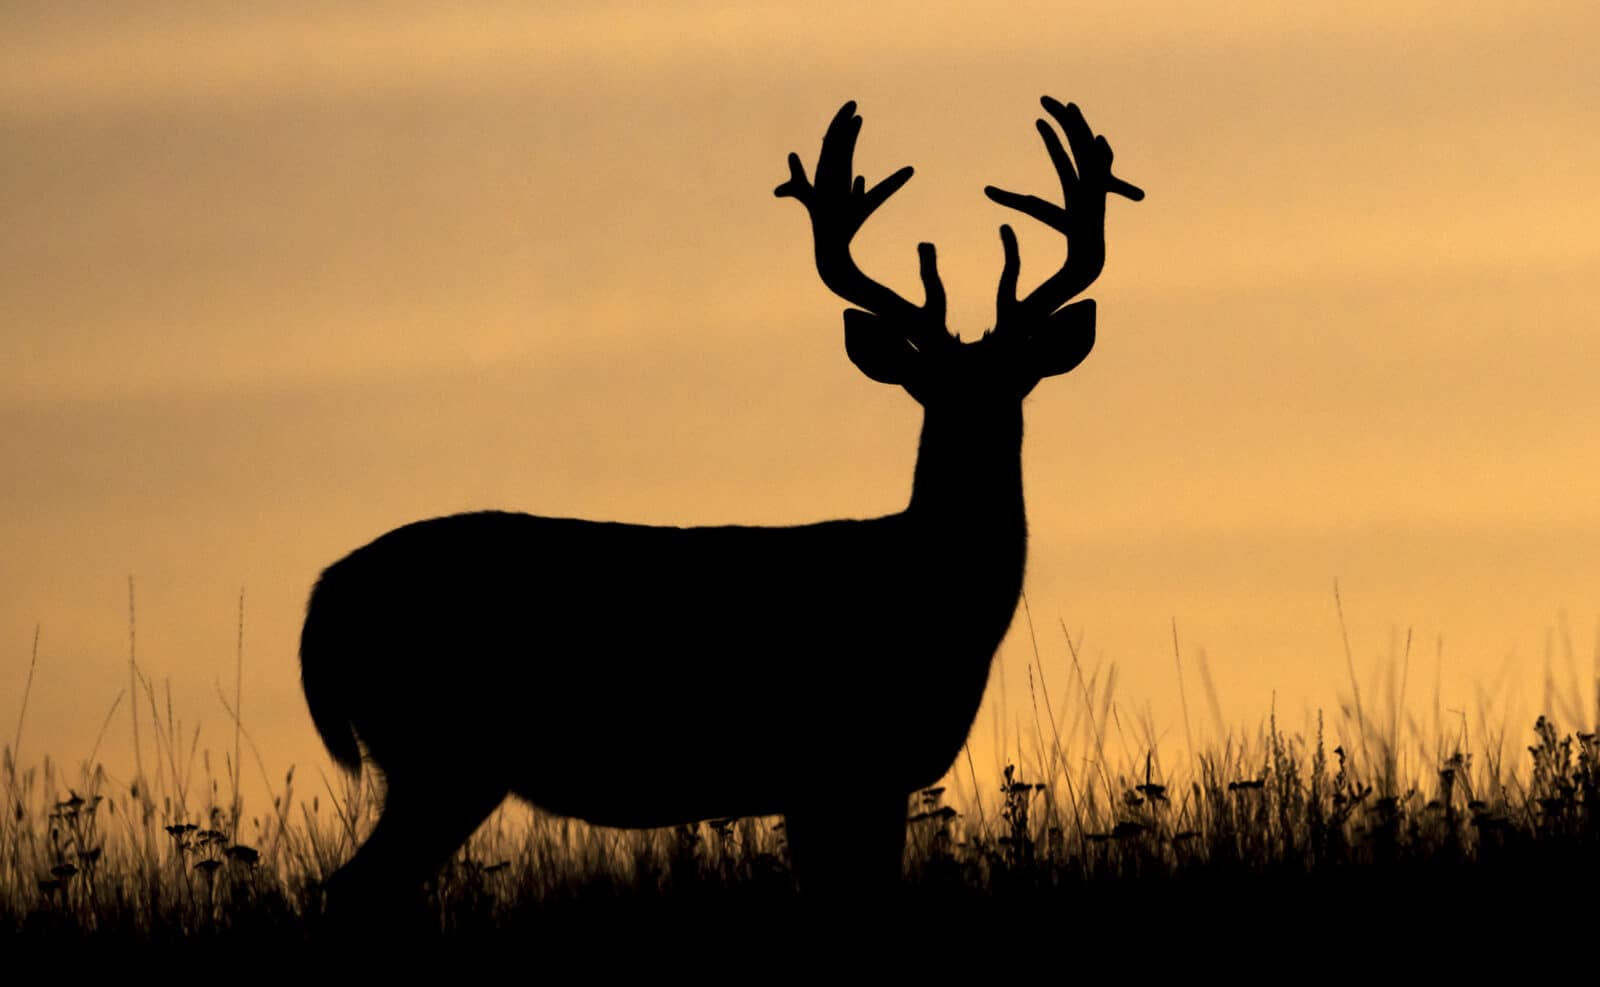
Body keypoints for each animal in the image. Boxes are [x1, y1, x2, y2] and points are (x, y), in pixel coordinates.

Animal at [299, 97, 1142, 907]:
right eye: (927, 385)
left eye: (1015, 380)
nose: (976, 431)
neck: (930, 591)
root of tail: (322, 601)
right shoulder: (840, 762)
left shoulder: (857, 777)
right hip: (441, 747)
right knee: (349, 887)